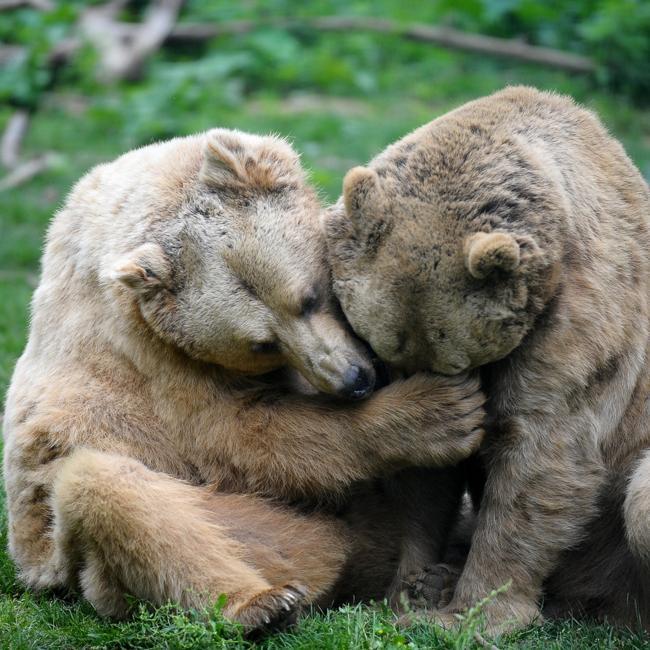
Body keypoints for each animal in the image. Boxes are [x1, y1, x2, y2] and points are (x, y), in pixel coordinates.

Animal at [2, 127, 486, 635]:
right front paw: (437, 412)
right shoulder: (153, 361)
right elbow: (240, 434)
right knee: (108, 490)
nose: (352, 380)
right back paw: (264, 602)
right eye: (262, 344)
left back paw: (432, 578)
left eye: (309, 297)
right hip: (237, 525)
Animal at [323, 86, 650, 633]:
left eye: (457, 360)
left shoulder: (579, 318)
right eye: (383, 347)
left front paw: (475, 610)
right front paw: (411, 587)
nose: (430, 390)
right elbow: (426, 473)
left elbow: (539, 454)